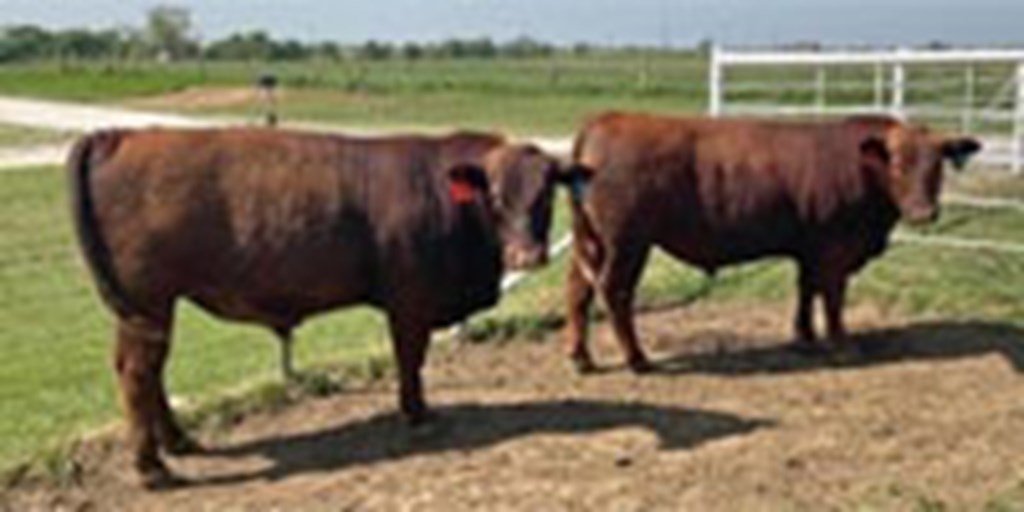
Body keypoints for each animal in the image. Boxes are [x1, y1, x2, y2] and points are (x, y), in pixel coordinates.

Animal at [68, 127, 589, 488]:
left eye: (546, 194)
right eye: (496, 196)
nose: (526, 256)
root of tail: (121, 135)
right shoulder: (410, 302)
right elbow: (410, 360)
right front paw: (417, 415)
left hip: (147, 309)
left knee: (149, 371)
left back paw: (179, 443)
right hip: (148, 303)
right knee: (138, 373)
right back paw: (152, 468)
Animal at [563, 112, 981, 373]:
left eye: (938, 165)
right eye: (897, 164)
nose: (924, 213)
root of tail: (607, 119)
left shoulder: (810, 248)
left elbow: (806, 290)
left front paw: (804, 336)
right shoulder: (835, 249)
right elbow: (832, 297)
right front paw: (841, 343)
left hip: (591, 241)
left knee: (579, 290)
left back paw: (581, 358)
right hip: (627, 243)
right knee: (615, 292)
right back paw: (638, 359)